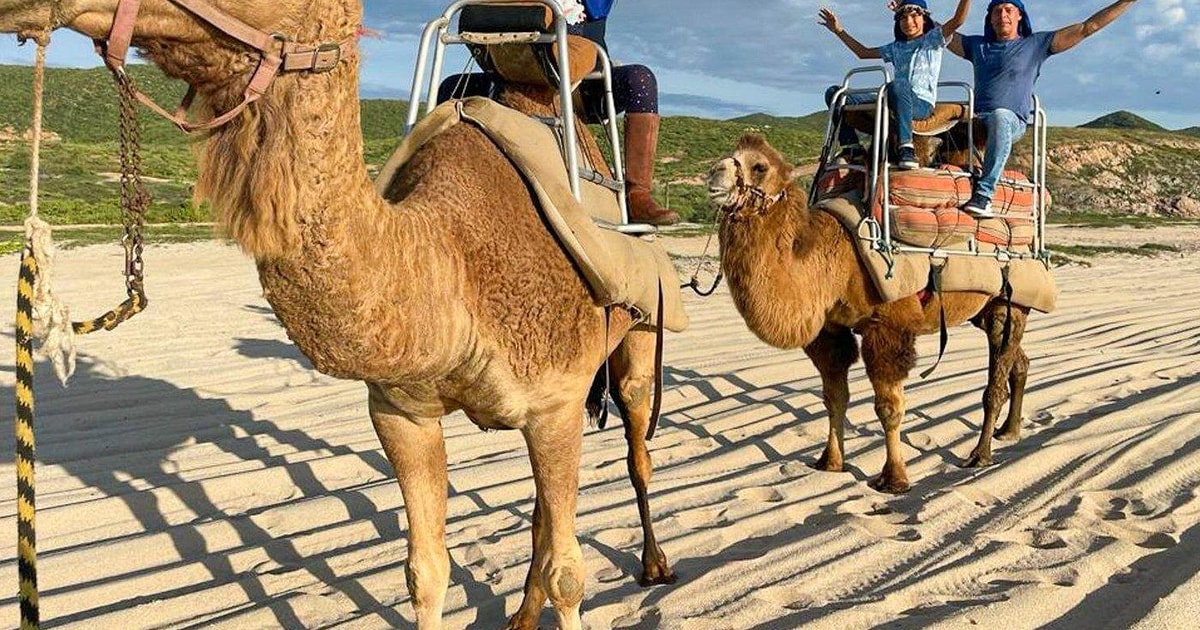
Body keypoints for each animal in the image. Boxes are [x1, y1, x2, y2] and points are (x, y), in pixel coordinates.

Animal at [0, 1, 676, 628]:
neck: (446, 258)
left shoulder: (555, 402)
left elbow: (569, 572)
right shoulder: (401, 412)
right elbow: (424, 572)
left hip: (637, 335)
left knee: (635, 448)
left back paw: (652, 564)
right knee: (543, 511)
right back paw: (522, 614)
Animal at [709, 133, 1029, 493]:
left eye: (759, 166)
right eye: (730, 154)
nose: (714, 174)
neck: (834, 260)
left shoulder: (886, 327)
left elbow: (888, 408)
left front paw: (894, 478)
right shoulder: (830, 331)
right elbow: (834, 397)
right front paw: (830, 462)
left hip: (1009, 301)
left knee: (996, 379)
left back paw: (980, 454)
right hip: (986, 309)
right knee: (1019, 361)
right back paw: (1009, 431)